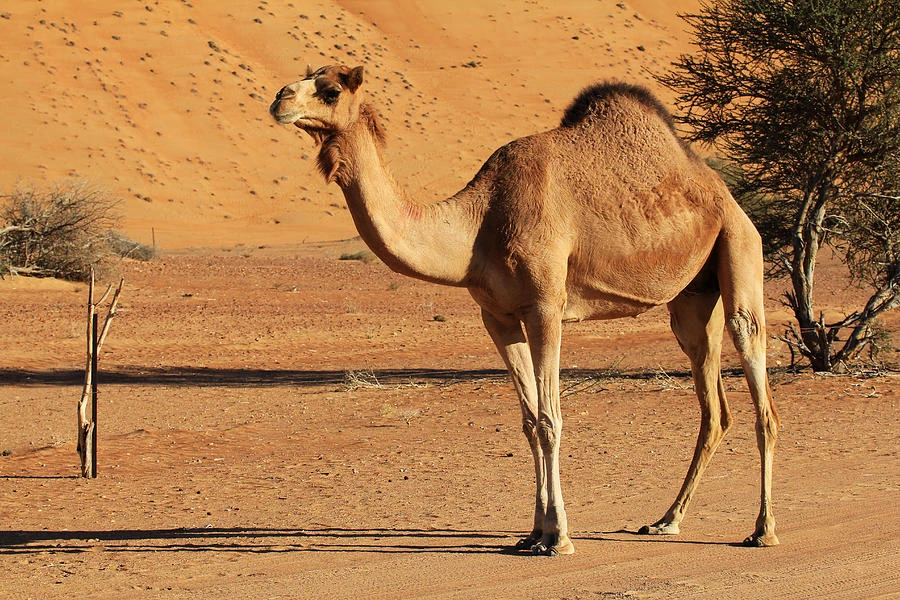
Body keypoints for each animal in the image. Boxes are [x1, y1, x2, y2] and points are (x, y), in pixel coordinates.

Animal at [269, 64, 779, 556]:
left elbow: (552, 420)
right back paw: (666, 520)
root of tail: (723, 191)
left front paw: (560, 538)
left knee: (756, 378)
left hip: (739, 245)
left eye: (331, 90)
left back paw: (763, 529)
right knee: (712, 404)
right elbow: (531, 422)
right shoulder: (498, 317)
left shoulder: (545, 308)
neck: (478, 224)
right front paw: (533, 533)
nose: (280, 98)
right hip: (692, 299)